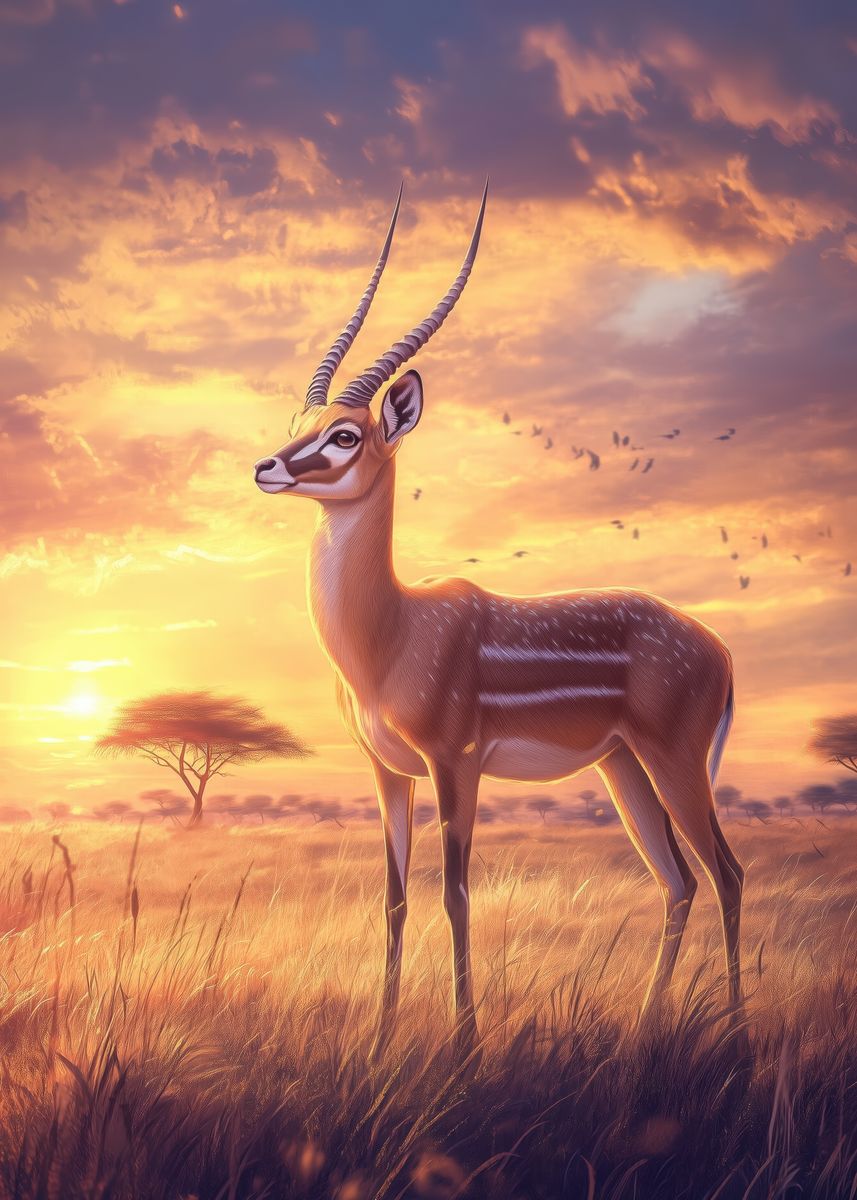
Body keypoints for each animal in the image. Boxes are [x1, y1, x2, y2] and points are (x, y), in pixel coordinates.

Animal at [254, 183, 744, 1051]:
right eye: (297, 426)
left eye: (344, 434)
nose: (266, 467)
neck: (390, 634)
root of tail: (717, 649)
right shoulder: (388, 772)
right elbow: (394, 898)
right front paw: (378, 1044)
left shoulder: (456, 763)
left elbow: (454, 894)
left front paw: (466, 1047)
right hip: (624, 768)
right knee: (678, 879)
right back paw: (645, 1029)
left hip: (675, 763)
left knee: (726, 873)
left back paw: (738, 1034)